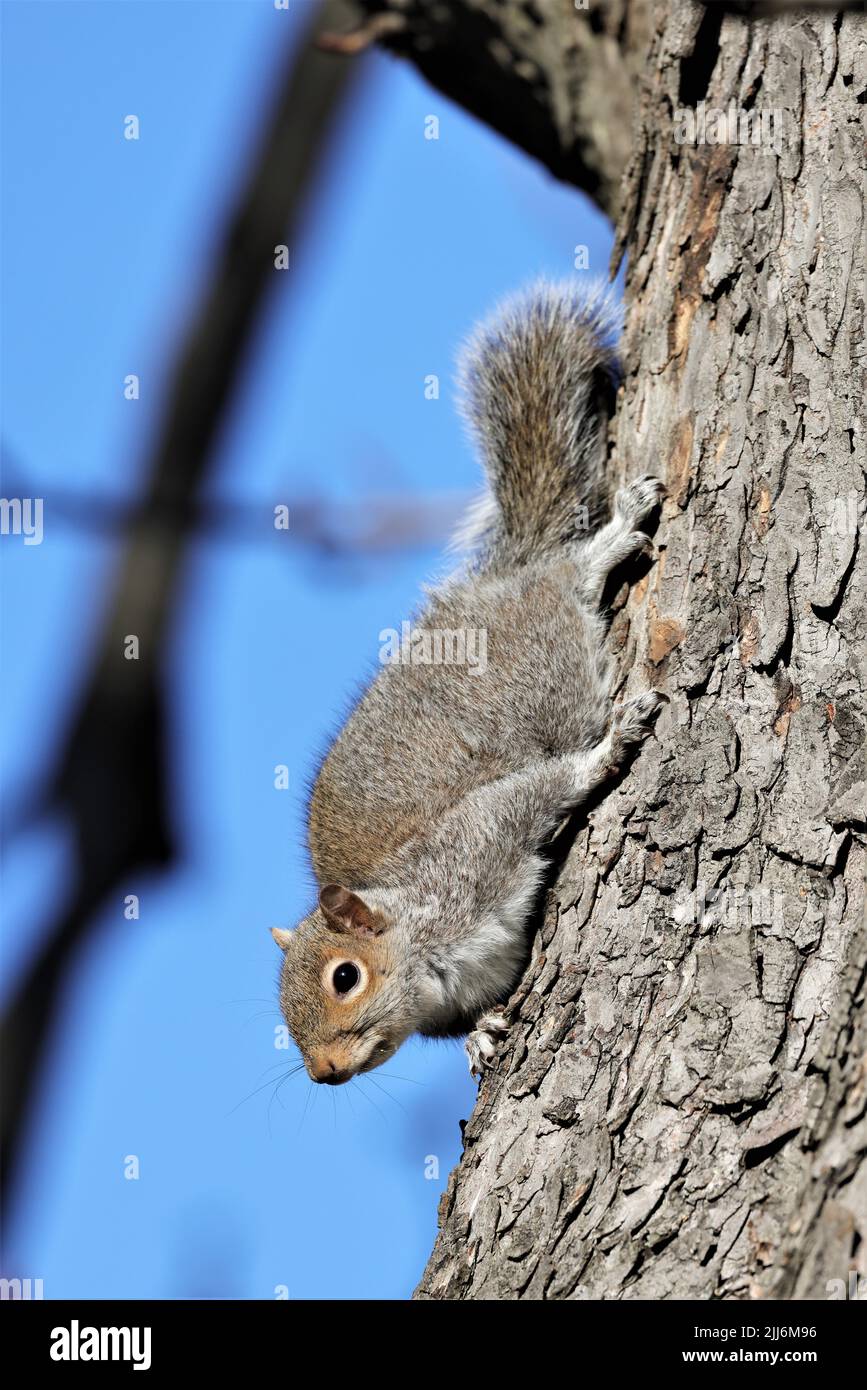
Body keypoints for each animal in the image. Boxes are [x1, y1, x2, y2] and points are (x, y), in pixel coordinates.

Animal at [272, 281, 667, 1083]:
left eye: (344, 976)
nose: (324, 1072)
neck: (426, 951)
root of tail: (485, 588)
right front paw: (482, 1035)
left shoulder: (476, 843)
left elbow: (540, 788)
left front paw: (611, 748)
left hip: (535, 635)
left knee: (563, 574)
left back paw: (609, 539)